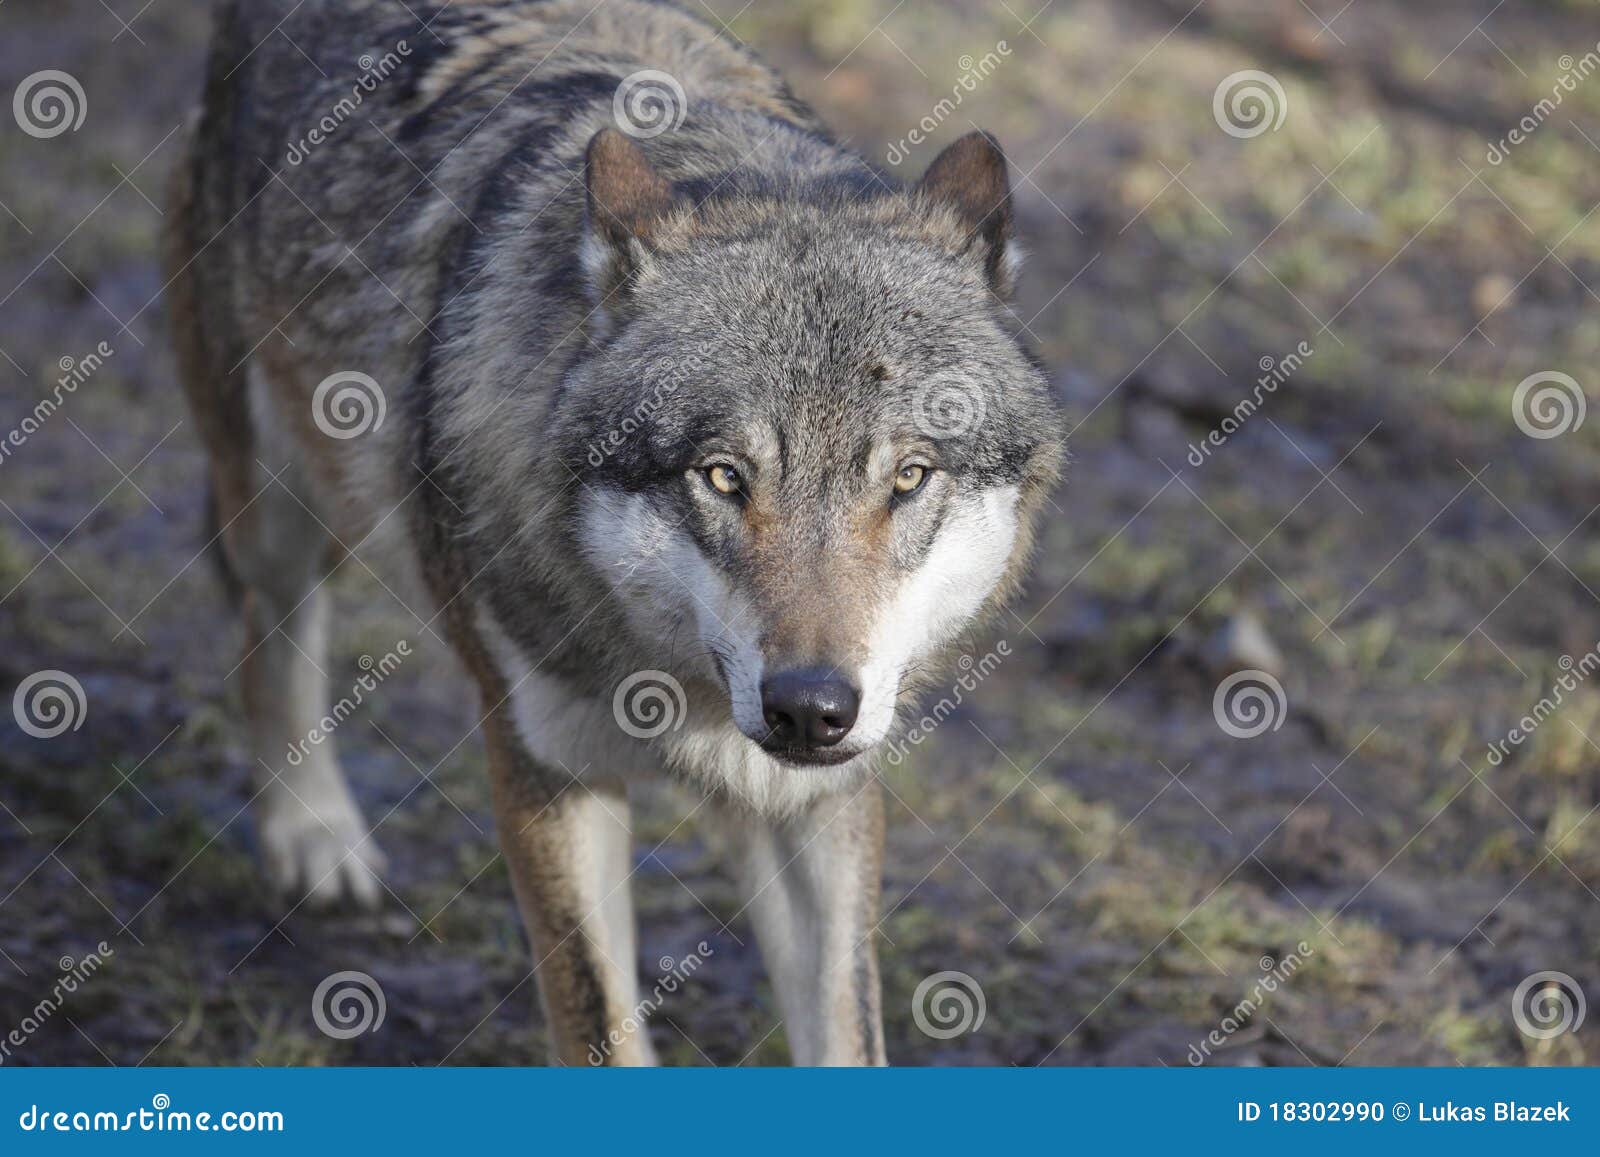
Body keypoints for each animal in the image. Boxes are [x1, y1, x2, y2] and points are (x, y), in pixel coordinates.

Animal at [165, 0, 1063, 1065]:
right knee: (272, 624)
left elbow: (847, 1034)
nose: (811, 708)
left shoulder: (817, 803)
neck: (678, 695)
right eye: (722, 477)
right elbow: (599, 1018)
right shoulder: (545, 769)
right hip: (278, 493)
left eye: (909, 477)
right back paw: (314, 837)